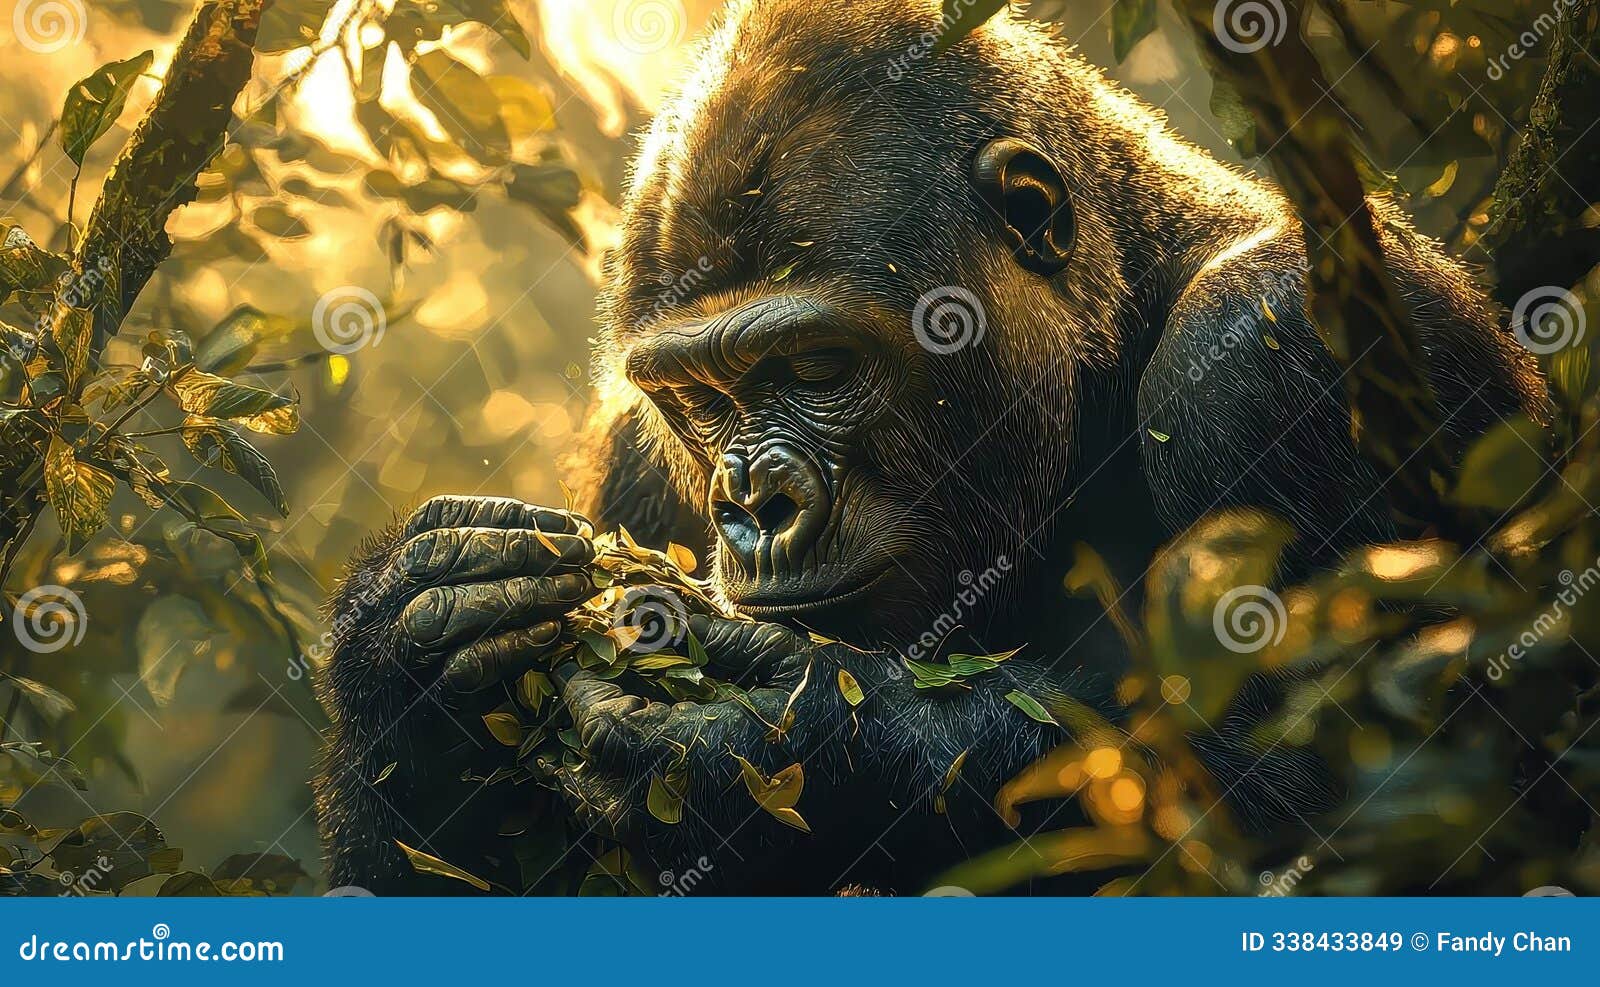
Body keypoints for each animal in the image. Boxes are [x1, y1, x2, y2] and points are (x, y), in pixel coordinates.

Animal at [314, 0, 1547, 895]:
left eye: (817, 368)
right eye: (702, 399)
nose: (750, 504)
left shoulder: (1276, 351)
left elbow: (1374, 789)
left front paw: (803, 741)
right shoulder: (632, 453)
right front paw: (408, 648)